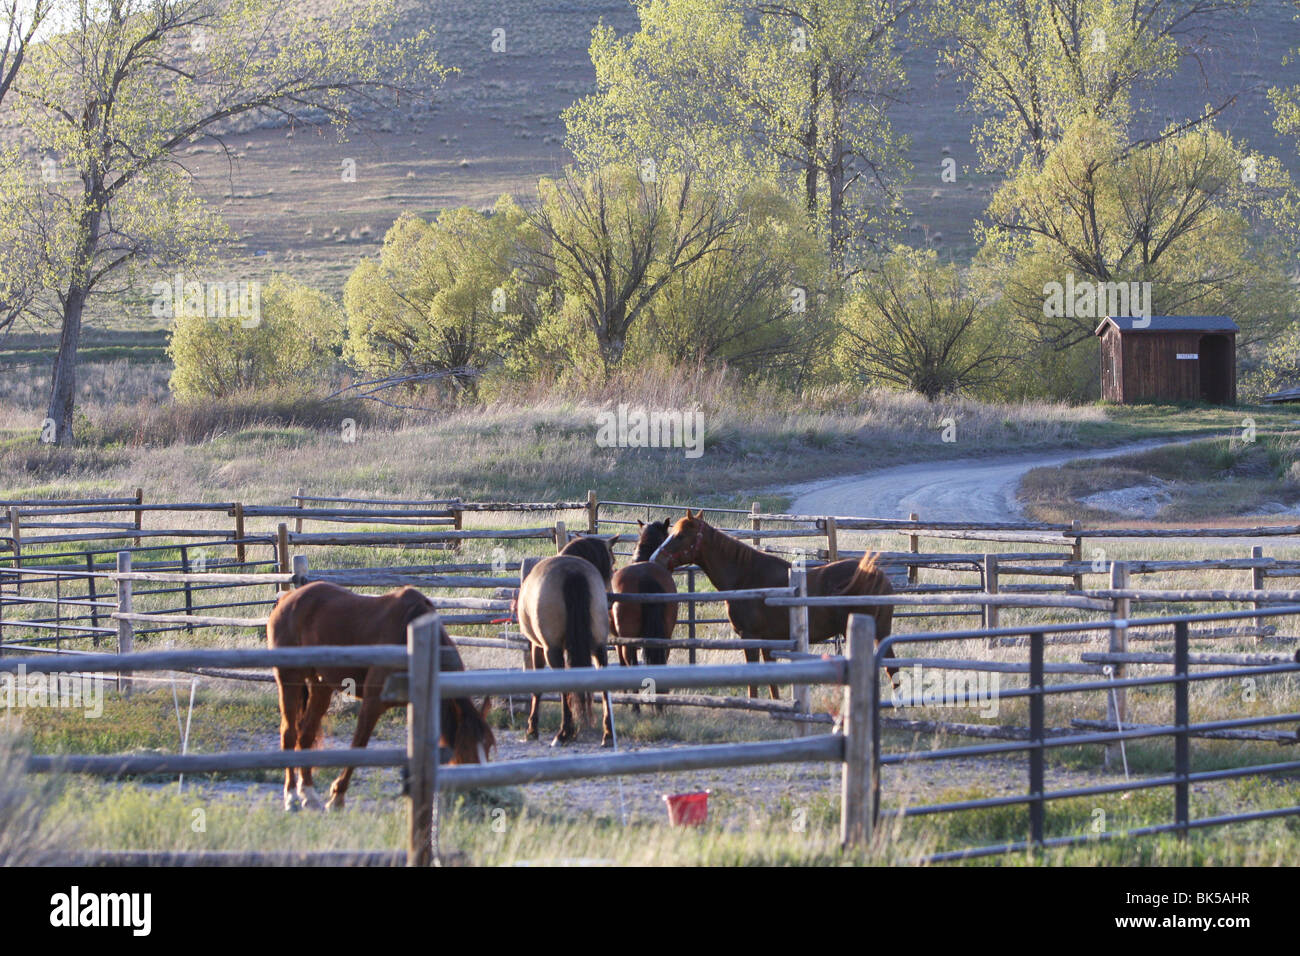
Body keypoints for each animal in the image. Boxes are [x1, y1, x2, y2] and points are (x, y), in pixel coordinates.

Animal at [267, 581, 495, 812]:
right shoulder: (373, 703)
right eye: (465, 746)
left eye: (488, 745)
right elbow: (359, 746)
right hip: (289, 679)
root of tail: (288, 598)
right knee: (289, 733)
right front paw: (337, 796)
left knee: (306, 734)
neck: (409, 636)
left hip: (320, 685)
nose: (483, 790)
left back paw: (309, 794)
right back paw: (291, 796)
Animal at [517, 552, 614, 747]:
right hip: (599, 648)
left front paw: (532, 730)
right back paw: (607, 735)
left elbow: (538, 688)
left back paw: (563, 734)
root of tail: (572, 573)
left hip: (552, 650)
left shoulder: (538, 647)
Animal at [611, 520, 678, 714]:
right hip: (665, 636)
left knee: (630, 664)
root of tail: (645, 576)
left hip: (629, 641)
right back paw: (660, 706)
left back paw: (635, 707)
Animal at [650, 510, 895, 699]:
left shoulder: (750, 637)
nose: (655, 560)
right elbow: (772, 681)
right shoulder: (767, 640)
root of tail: (876, 574)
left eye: (680, 535)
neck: (747, 577)